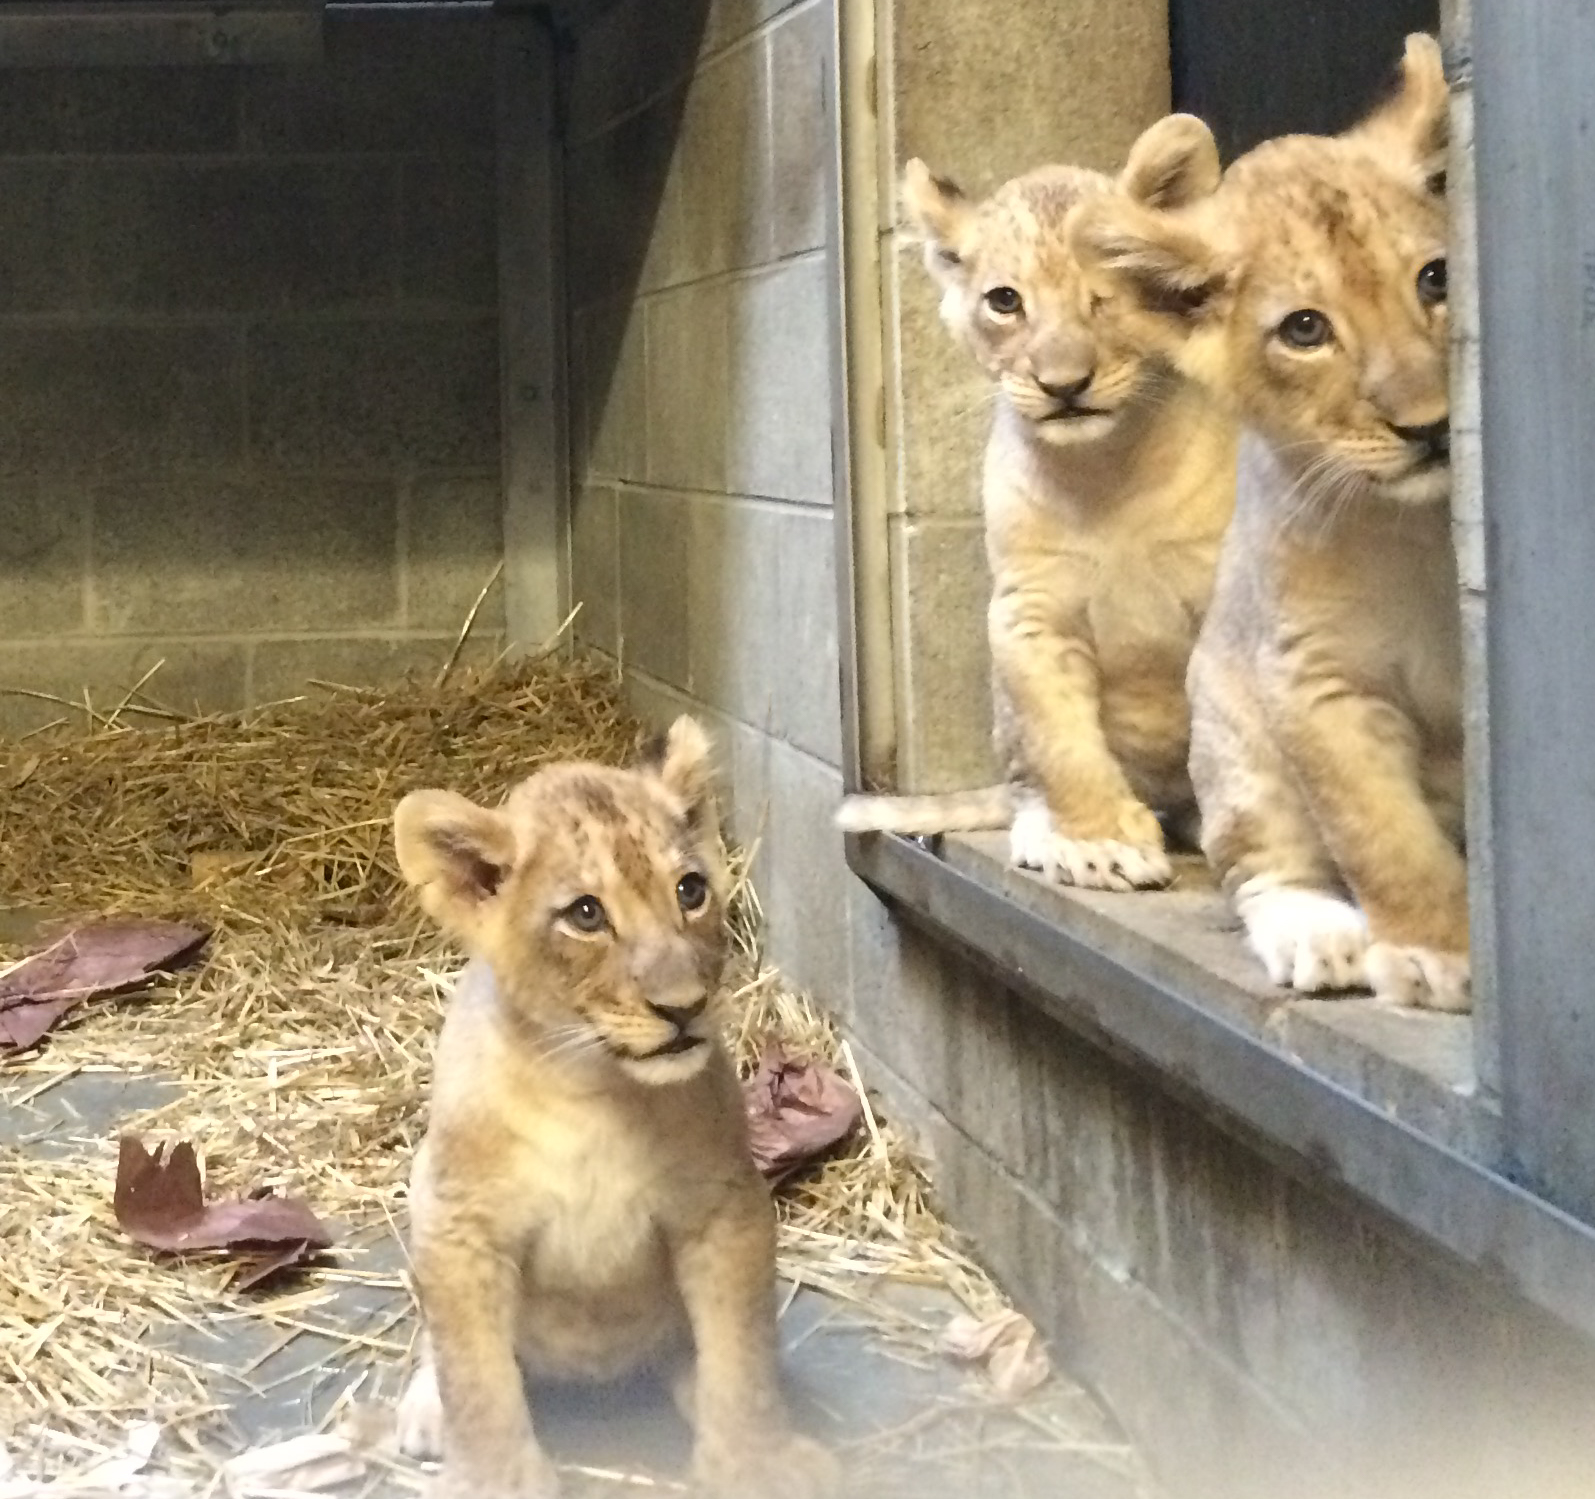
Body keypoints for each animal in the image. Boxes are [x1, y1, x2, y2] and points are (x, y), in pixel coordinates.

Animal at [390, 717, 837, 1498]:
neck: (592, 1089)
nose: (683, 1007)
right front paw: (497, 1477)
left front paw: (753, 1460)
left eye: (690, 889)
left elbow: (741, 1355)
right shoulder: (461, 1224)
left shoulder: (725, 1208)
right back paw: (424, 1411)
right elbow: (476, 1378)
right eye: (586, 914)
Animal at [835, 117, 1238, 892]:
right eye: (1004, 300)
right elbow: (1062, 743)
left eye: (1109, 292)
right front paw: (1097, 841)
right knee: (1025, 781)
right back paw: (1044, 830)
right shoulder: (1030, 612)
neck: (1105, 471)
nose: (1063, 385)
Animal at [1071, 34, 1465, 1010]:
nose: (1431, 426)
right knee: (1260, 864)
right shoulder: (1313, 681)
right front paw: (1434, 953)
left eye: (1435, 277)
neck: (1412, 532)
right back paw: (1319, 937)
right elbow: (1381, 834)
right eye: (1303, 330)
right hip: (1229, 729)